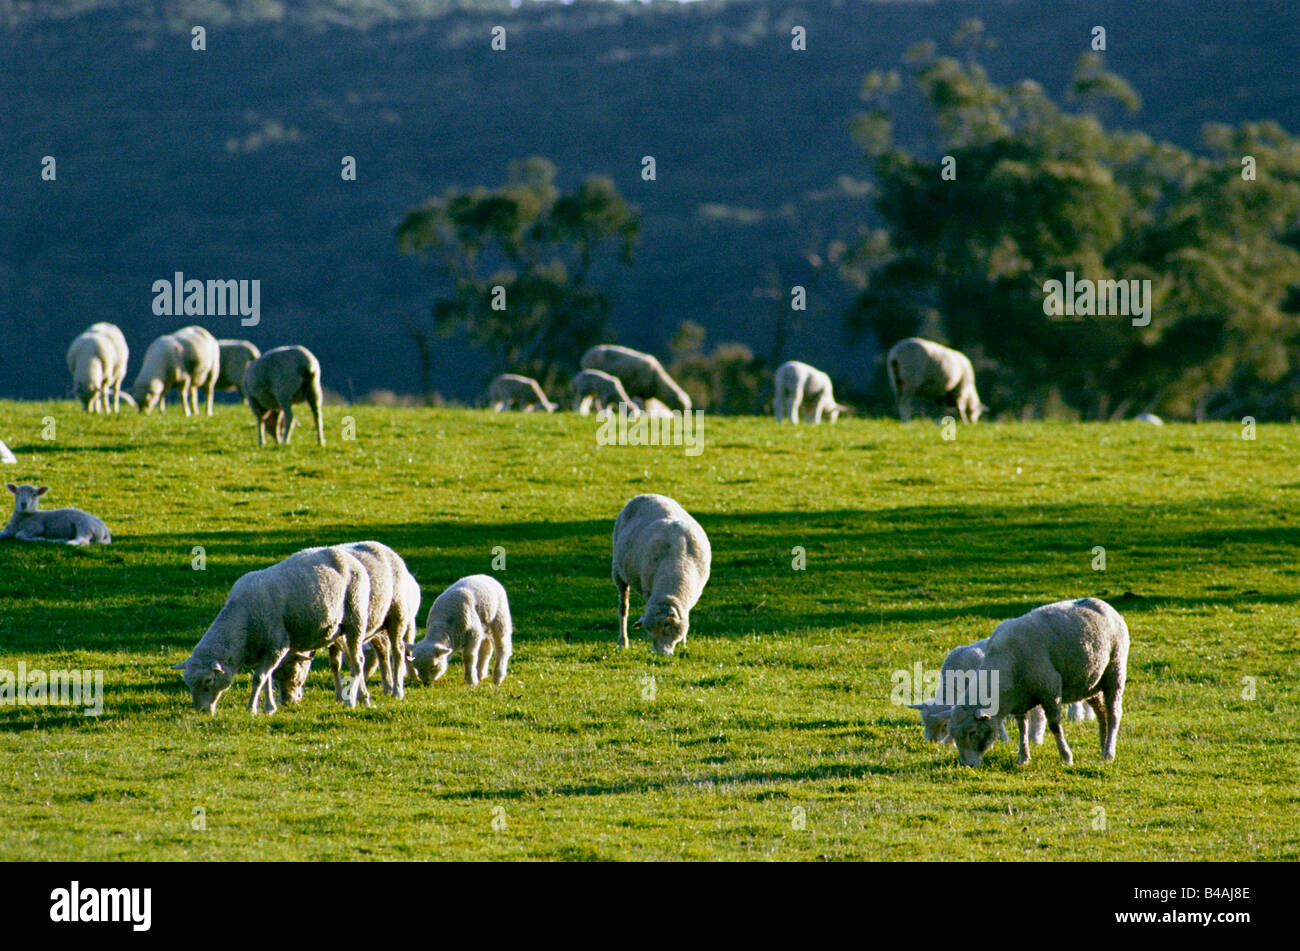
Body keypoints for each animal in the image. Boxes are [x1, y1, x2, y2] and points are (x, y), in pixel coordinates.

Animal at [171, 545, 372, 715]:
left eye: (208, 682)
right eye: (188, 684)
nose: (201, 712)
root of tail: (350, 557)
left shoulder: (276, 646)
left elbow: (258, 678)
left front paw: (251, 709)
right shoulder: (264, 650)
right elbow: (267, 678)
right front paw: (269, 708)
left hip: (355, 619)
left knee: (358, 662)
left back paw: (351, 701)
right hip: (338, 630)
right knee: (353, 660)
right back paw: (363, 699)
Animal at [612, 493, 711, 655]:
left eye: (666, 625)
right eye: (649, 632)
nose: (660, 654)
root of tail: (646, 494)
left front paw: (683, 643)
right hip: (618, 573)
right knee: (623, 608)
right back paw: (623, 642)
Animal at [926, 598, 1129, 767]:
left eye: (972, 732)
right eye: (952, 734)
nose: (967, 765)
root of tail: (1103, 604)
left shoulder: (1050, 690)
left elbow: (1054, 725)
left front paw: (1066, 757)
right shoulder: (1019, 700)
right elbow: (1022, 728)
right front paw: (1023, 758)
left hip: (1115, 670)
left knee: (1114, 713)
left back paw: (1109, 753)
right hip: (1090, 683)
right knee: (1102, 712)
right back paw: (1103, 746)